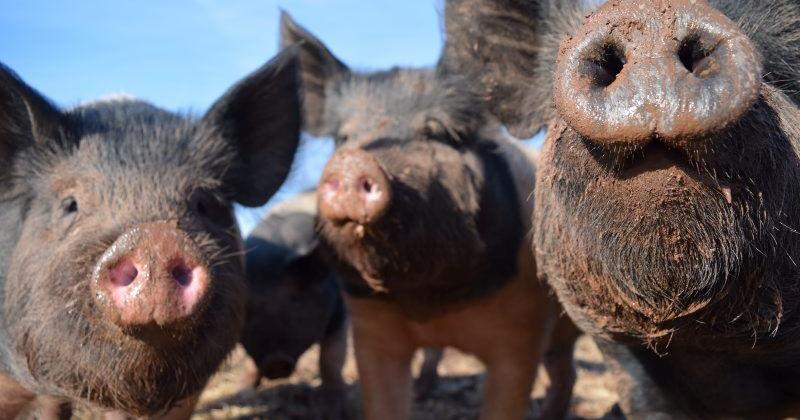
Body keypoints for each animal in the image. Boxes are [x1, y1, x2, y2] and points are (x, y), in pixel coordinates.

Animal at [281, 12, 581, 420]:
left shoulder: (525, 329)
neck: (429, 302)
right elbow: (382, 401)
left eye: (438, 132)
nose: (351, 162)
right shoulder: (370, 327)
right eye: (343, 138)